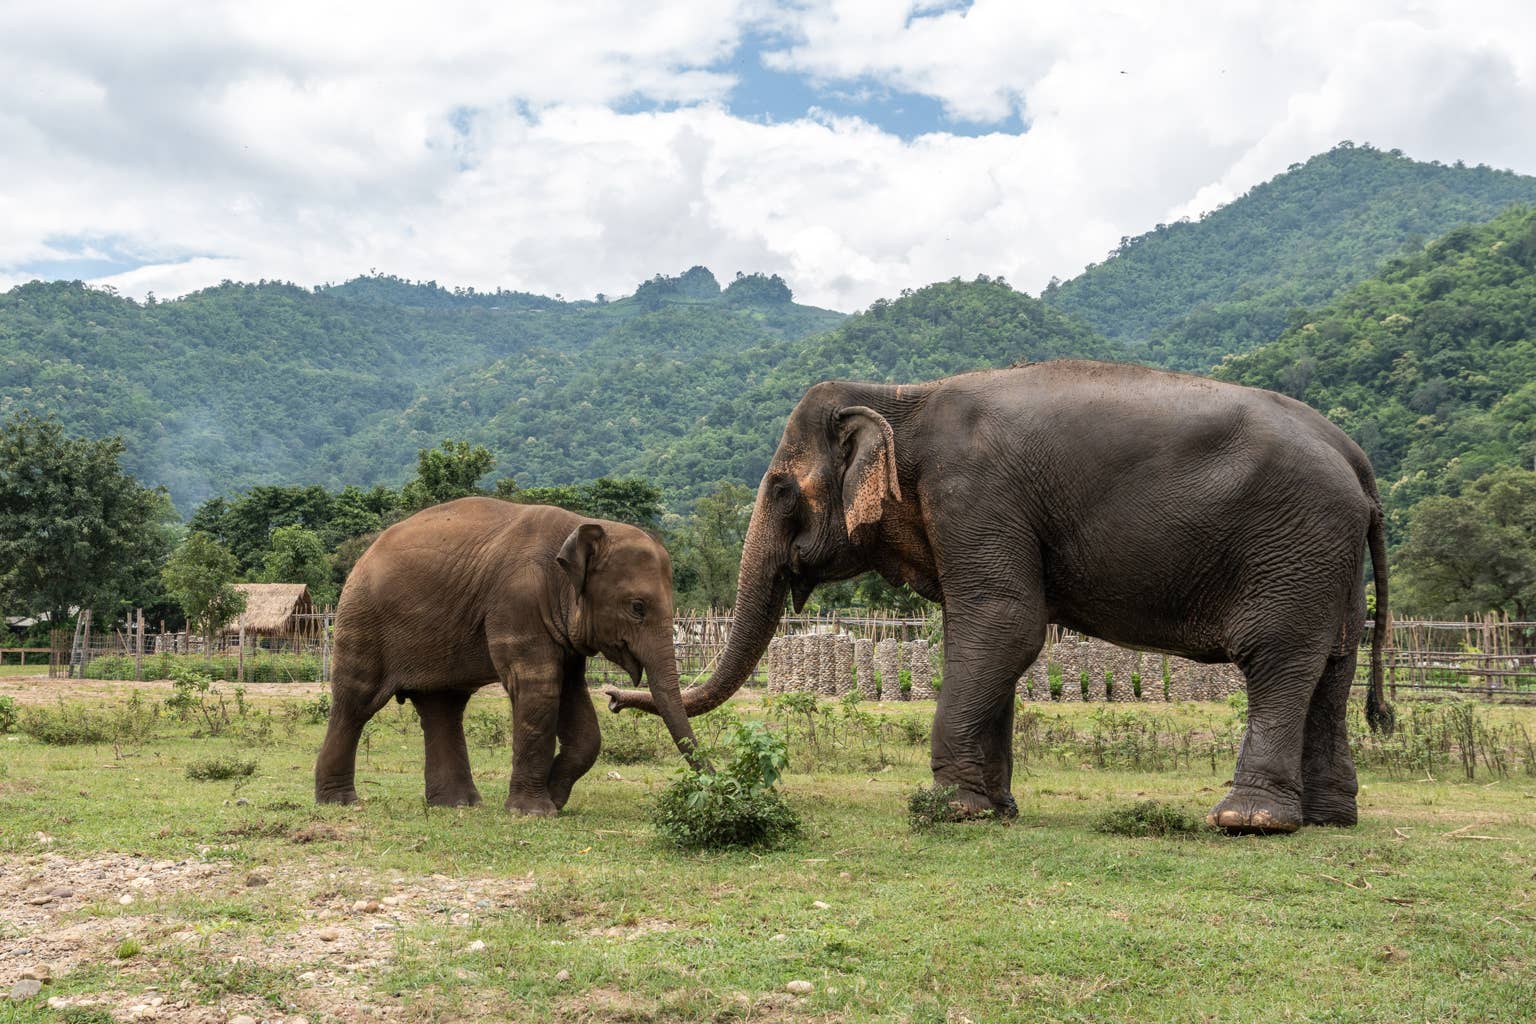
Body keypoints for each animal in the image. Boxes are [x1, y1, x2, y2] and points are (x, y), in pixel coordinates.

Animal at [315, 497, 699, 814]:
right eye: (637, 608)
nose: (706, 779)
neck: (579, 526)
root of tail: (363, 556)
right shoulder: (518, 601)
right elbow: (539, 688)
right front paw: (534, 812)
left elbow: (573, 696)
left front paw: (554, 798)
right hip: (362, 619)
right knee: (356, 702)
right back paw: (341, 802)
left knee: (443, 706)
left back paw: (458, 805)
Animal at [606, 360, 1393, 833]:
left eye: (776, 489)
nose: (614, 696)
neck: (902, 395)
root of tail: (1359, 461)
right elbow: (986, 636)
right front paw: (997, 808)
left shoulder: (976, 493)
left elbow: (1005, 626)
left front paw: (950, 809)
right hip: (1324, 561)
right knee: (1332, 669)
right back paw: (1329, 820)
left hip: (1294, 544)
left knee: (1278, 660)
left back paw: (1247, 821)